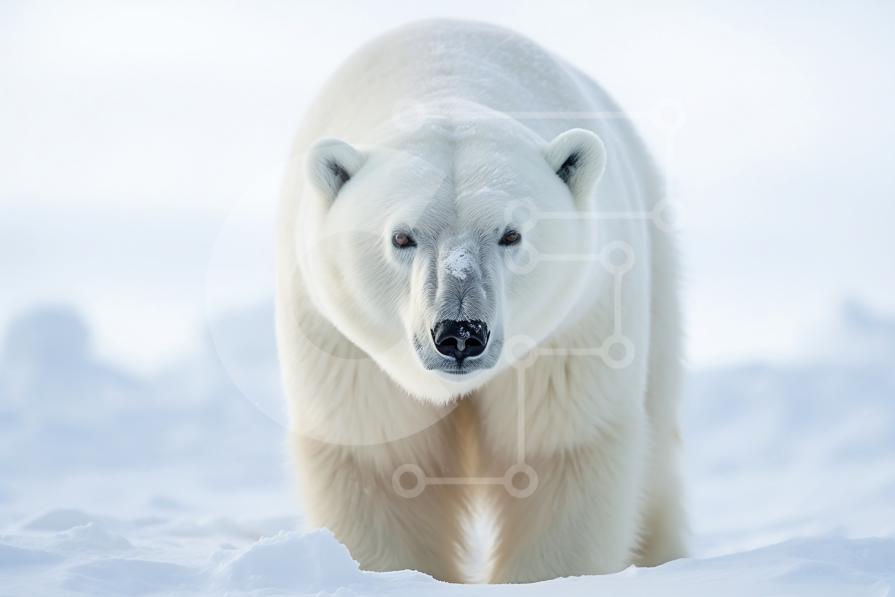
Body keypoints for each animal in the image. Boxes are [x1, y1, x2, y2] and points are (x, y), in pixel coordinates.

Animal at [275, 19, 687, 583]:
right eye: (401, 237)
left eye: (510, 234)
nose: (460, 333)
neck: (445, 79)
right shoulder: (345, 350)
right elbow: (380, 467)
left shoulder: (573, 334)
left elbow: (558, 454)